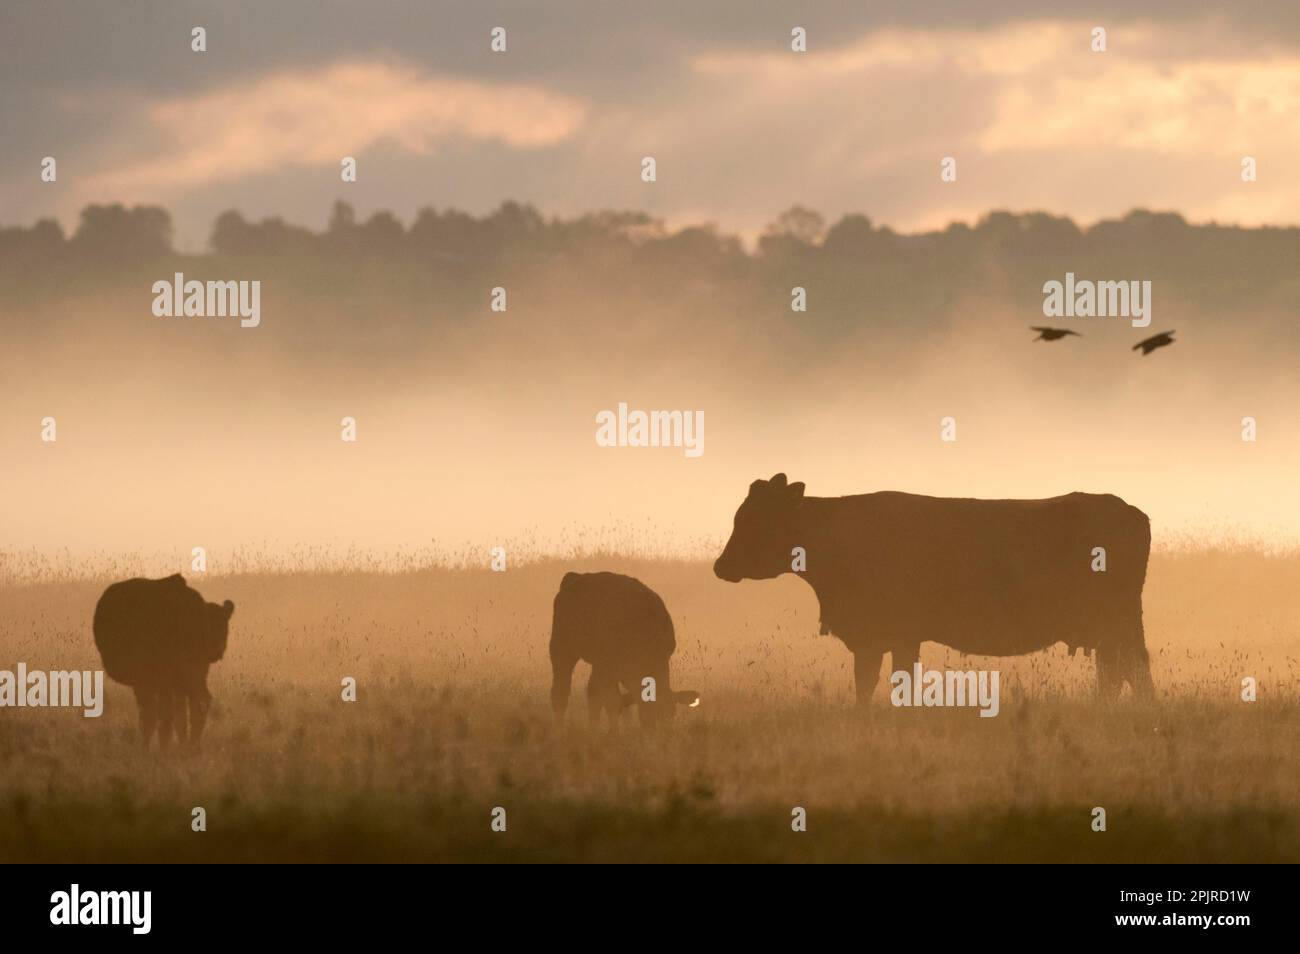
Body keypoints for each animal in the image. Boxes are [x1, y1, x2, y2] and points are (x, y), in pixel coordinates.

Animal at [92, 574, 234, 747]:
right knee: (197, 702)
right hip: (189, 674)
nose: (217, 650)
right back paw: (190, 745)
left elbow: (155, 716)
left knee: (166, 713)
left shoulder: (151, 683)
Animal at [549, 571, 700, 727]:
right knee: (561, 692)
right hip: (561, 648)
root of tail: (576, 576)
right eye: (650, 708)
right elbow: (609, 700)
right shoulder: (605, 664)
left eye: (671, 714)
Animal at [713, 474, 1154, 703]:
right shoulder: (881, 638)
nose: (720, 566)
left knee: (1126, 671)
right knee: (1123, 672)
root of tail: (1129, 509)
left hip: (1117, 623)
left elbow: (890, 682)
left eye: (755, 519)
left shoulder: (893, 635)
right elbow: (869, 683)